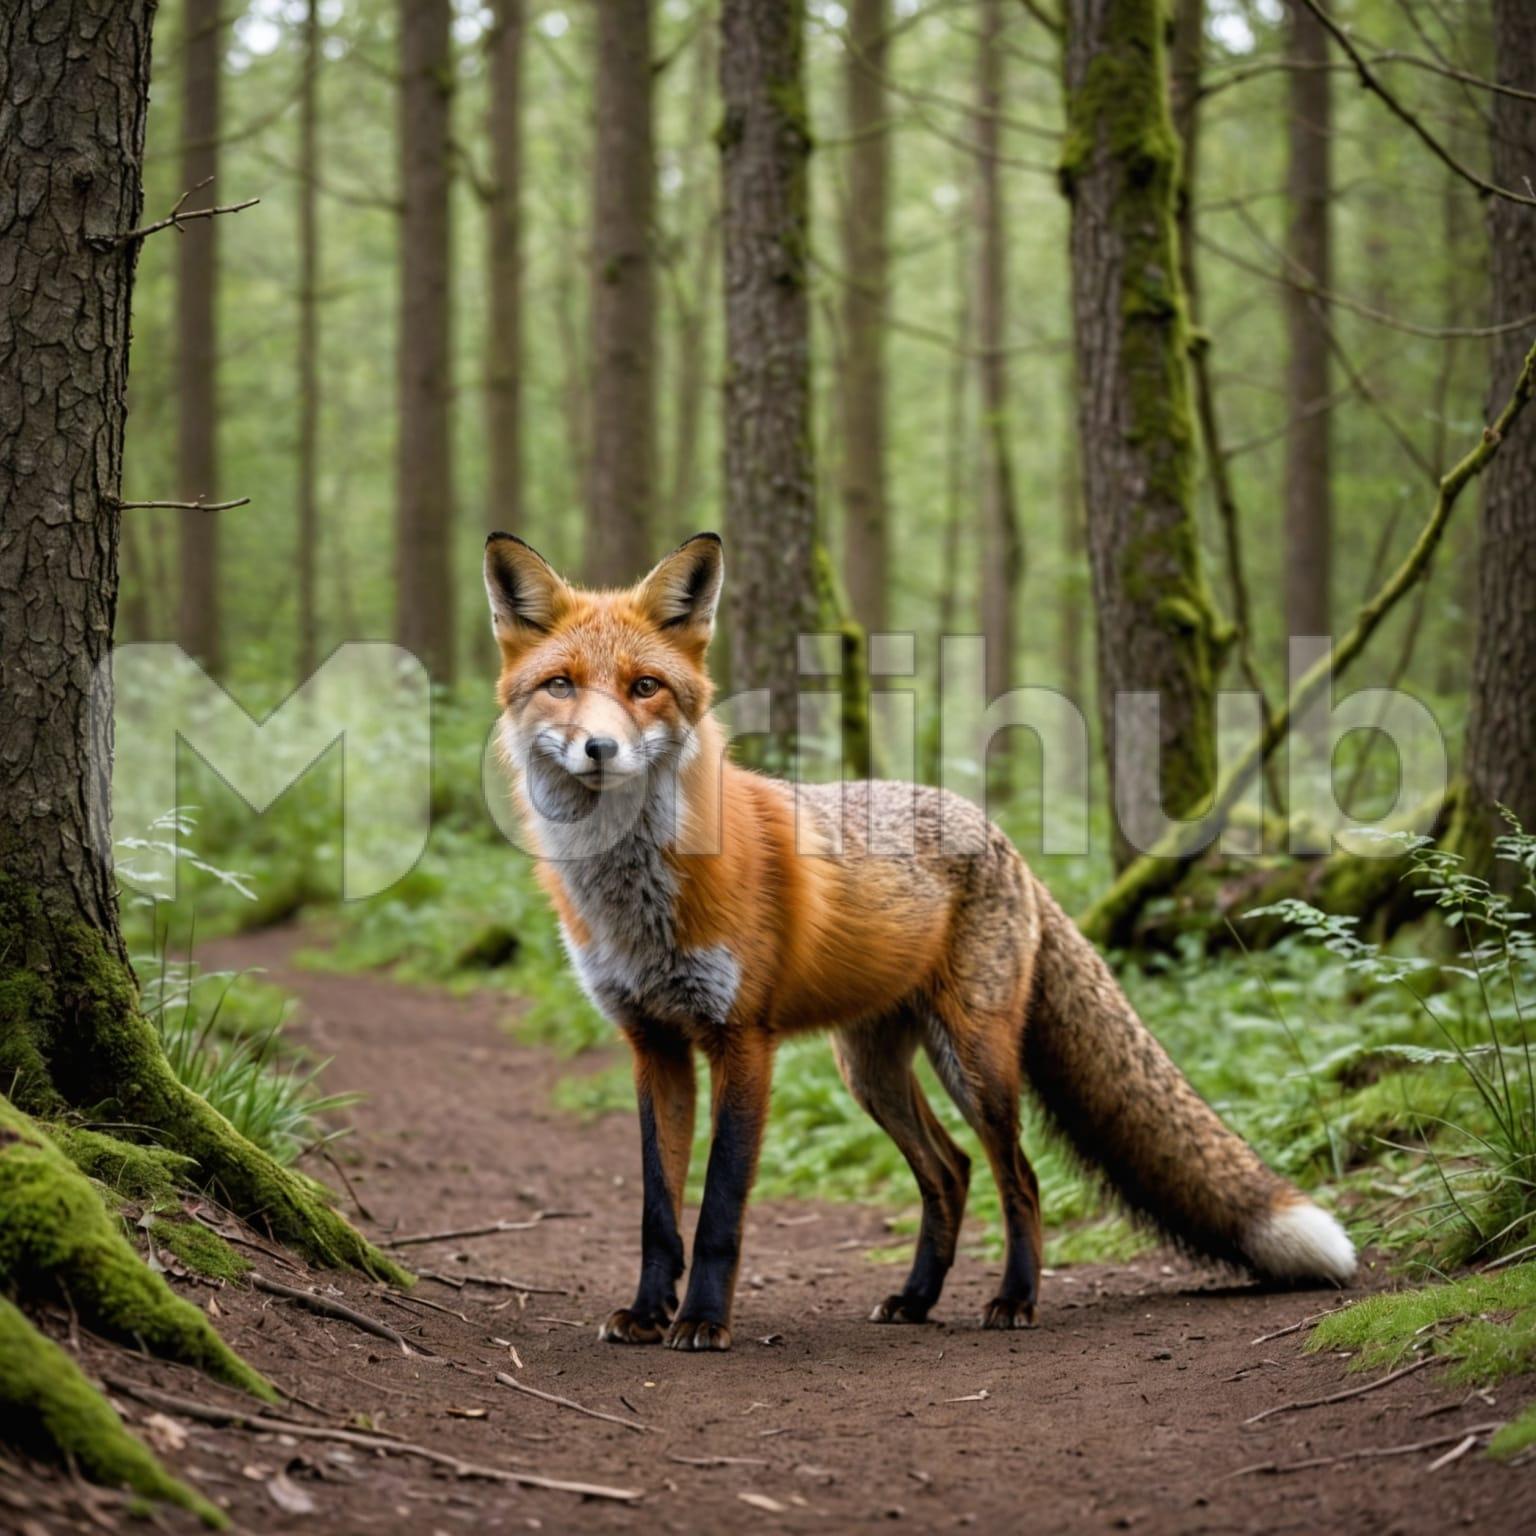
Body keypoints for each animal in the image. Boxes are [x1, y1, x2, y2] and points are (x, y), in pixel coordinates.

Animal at [482, 530, 1356, 1352]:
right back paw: (916, 1298)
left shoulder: (742, 1040)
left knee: (1019, 1177)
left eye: (645, 687)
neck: (635, 901)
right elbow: (658, 1208)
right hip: (871, 1070)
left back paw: (1015, 1300)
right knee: (951, 1171)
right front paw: (645, 1312)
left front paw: (701, 1321)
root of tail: (999, 833)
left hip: (976, 1060)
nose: (600, 749)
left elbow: (721, 1209)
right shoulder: (653, 1043)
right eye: (561, 684)